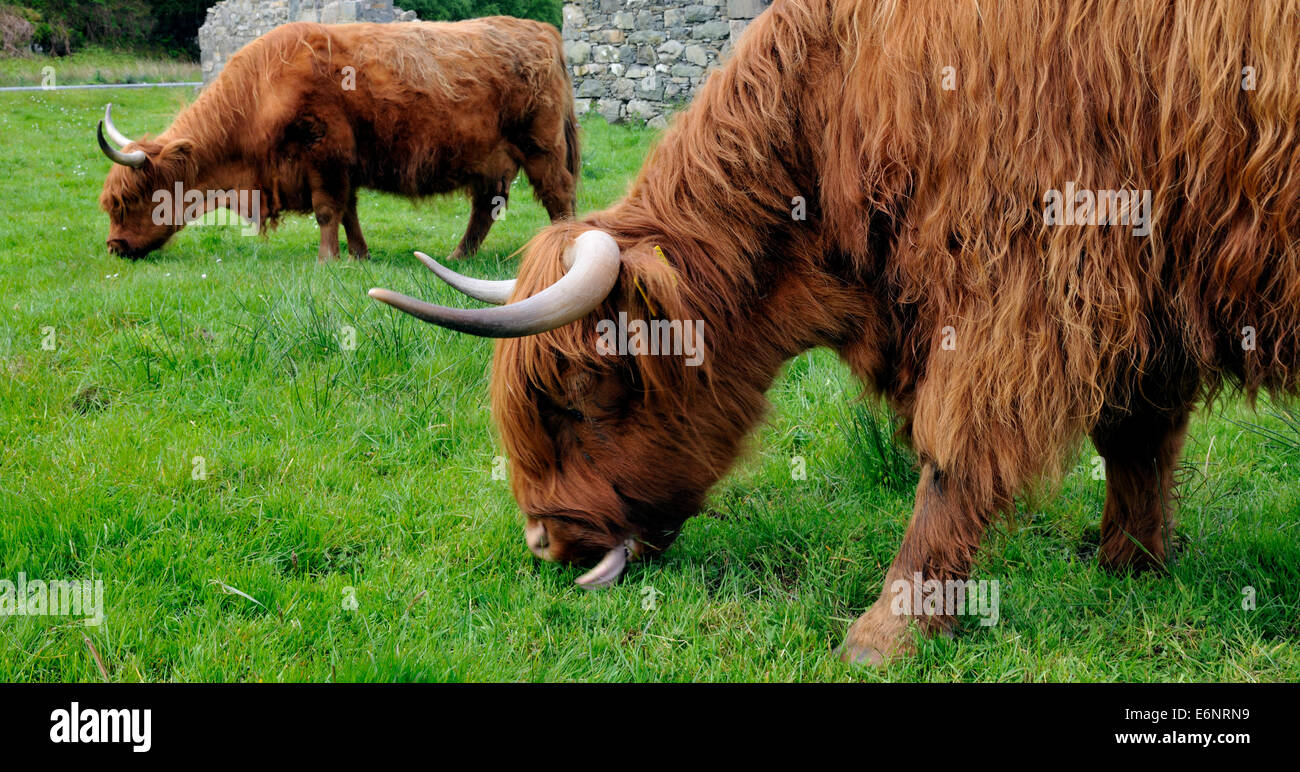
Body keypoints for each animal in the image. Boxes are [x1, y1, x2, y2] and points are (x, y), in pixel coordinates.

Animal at [96, 17, 579, 262]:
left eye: (130, 201)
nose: (114, 246)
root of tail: (541, 30)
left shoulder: (324, 153)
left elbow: (328, 210)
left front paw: (327, 259)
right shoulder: (342, 164)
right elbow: (348, 211)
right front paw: (359, 254)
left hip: (541, 148)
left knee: (560, 197)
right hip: (490, 161)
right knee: (485, 209)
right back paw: (459, 256)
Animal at [369, 0, 1300, 663]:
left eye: (579, 394)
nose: (542, 543)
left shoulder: (1028, 280)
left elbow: (955, 456)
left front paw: (889, 630)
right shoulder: (1147, 292)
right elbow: (1138, 439)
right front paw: (1131, 564)